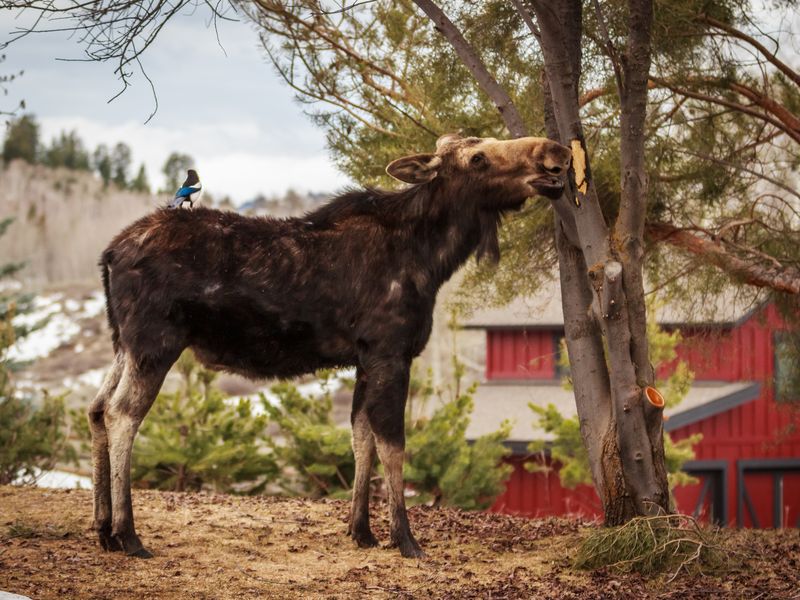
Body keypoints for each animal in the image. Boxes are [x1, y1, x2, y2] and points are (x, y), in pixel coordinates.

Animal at [88, 133, 571, 558]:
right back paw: (128, 534)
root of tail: (108, 253)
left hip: (122, 342)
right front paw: (405, 539)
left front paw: (362, 531)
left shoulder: (364, 359)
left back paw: (103, 529)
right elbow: (393, 444)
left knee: (96, 408)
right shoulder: (390, 352)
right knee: (122, 413)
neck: (433, 258)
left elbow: (361, 436)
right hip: (155, 342)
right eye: (477, 159)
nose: (555, 154)